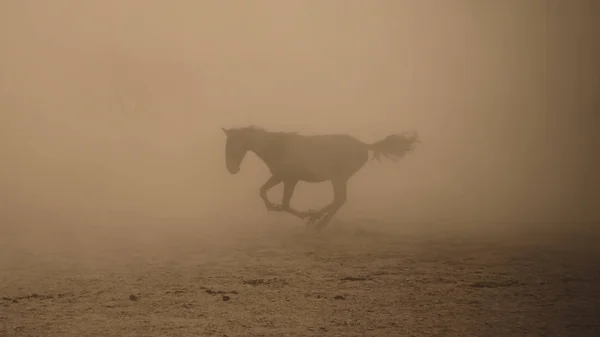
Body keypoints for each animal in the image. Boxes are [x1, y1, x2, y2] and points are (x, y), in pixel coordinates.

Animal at [220, 124, 418, 230]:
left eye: (233, 145)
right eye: (227, 145)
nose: (231, 169)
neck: (277, 147)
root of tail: (364, 145)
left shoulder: (291, 179)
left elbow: (285, 204)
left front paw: (303, 215)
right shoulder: (279, 176)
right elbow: (263, 191)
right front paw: (273, 207)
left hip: (339, 178)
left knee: (339, 199)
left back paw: (317, 221)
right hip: (338, 179)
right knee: (338, 200)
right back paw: (317, 218)